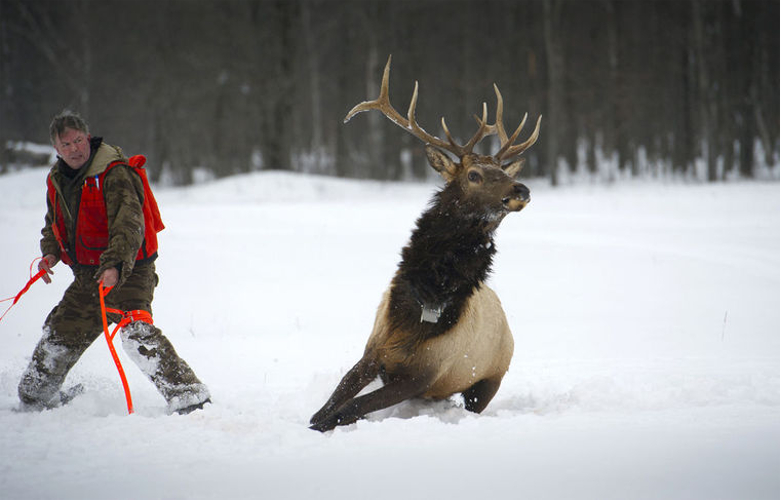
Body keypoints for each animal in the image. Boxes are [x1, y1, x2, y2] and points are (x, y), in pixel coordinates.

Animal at [310, 55, 540, 432]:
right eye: (474, 174)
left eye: (504, 173)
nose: (520, 190)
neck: (422, 305)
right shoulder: (374, 350)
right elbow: (333, 399)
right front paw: (313, 420)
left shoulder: (425, 374)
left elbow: (350, 408)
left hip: (490, 379)